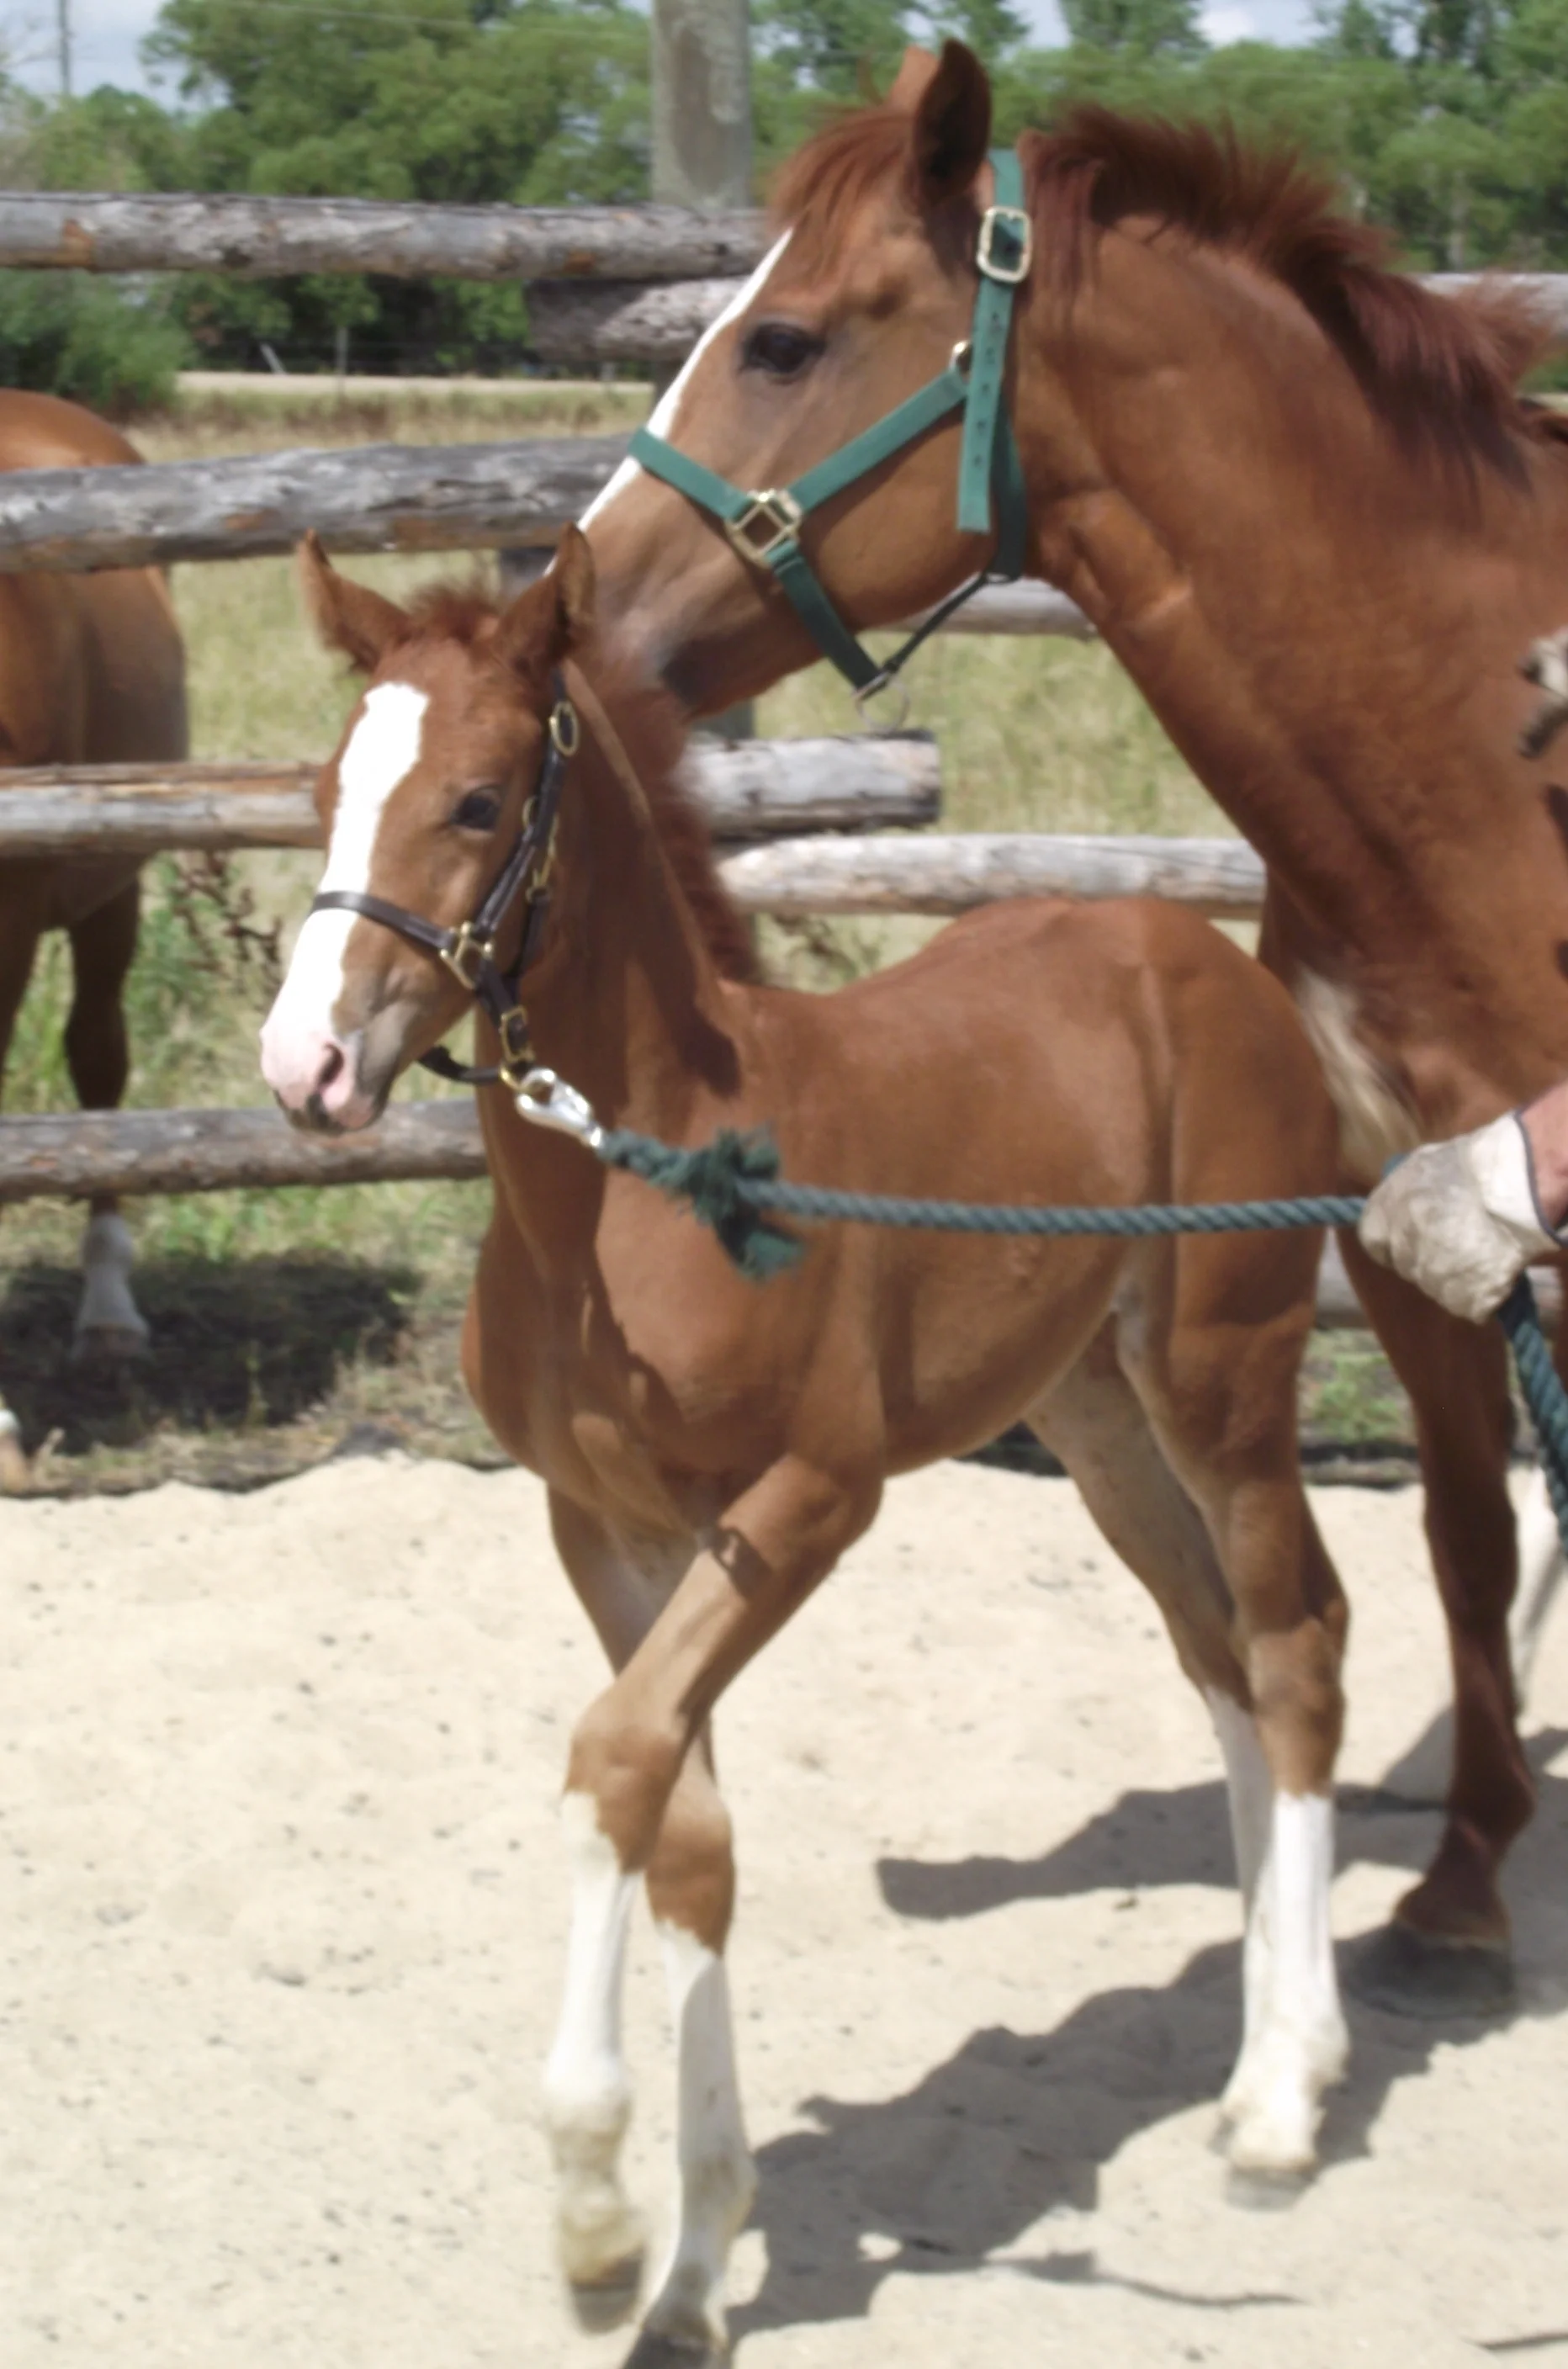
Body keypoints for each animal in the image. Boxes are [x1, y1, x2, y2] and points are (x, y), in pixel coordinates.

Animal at [260, 525, 1354, 2356]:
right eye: (323, 786)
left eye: (477, 803)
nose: (306, 1066)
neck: (647, 1181)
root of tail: (1205, 951)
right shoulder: (603, 1524)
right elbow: (685, 1832)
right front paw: (695, 2265)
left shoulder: (808, 1501)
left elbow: (613, 1759)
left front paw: (592, 2213)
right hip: (1089, 1409)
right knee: (1209, 1652)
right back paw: (1257, 2045)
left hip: (1219, 1375)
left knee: (1289, 1645)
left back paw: (1283, 2097)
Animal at [579, 42, 1568, 2014]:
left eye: (783, 342)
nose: (564, 593)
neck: (1483, 753)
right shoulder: (1416, 1220)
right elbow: (1463, 1530)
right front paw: (1457, 1889)